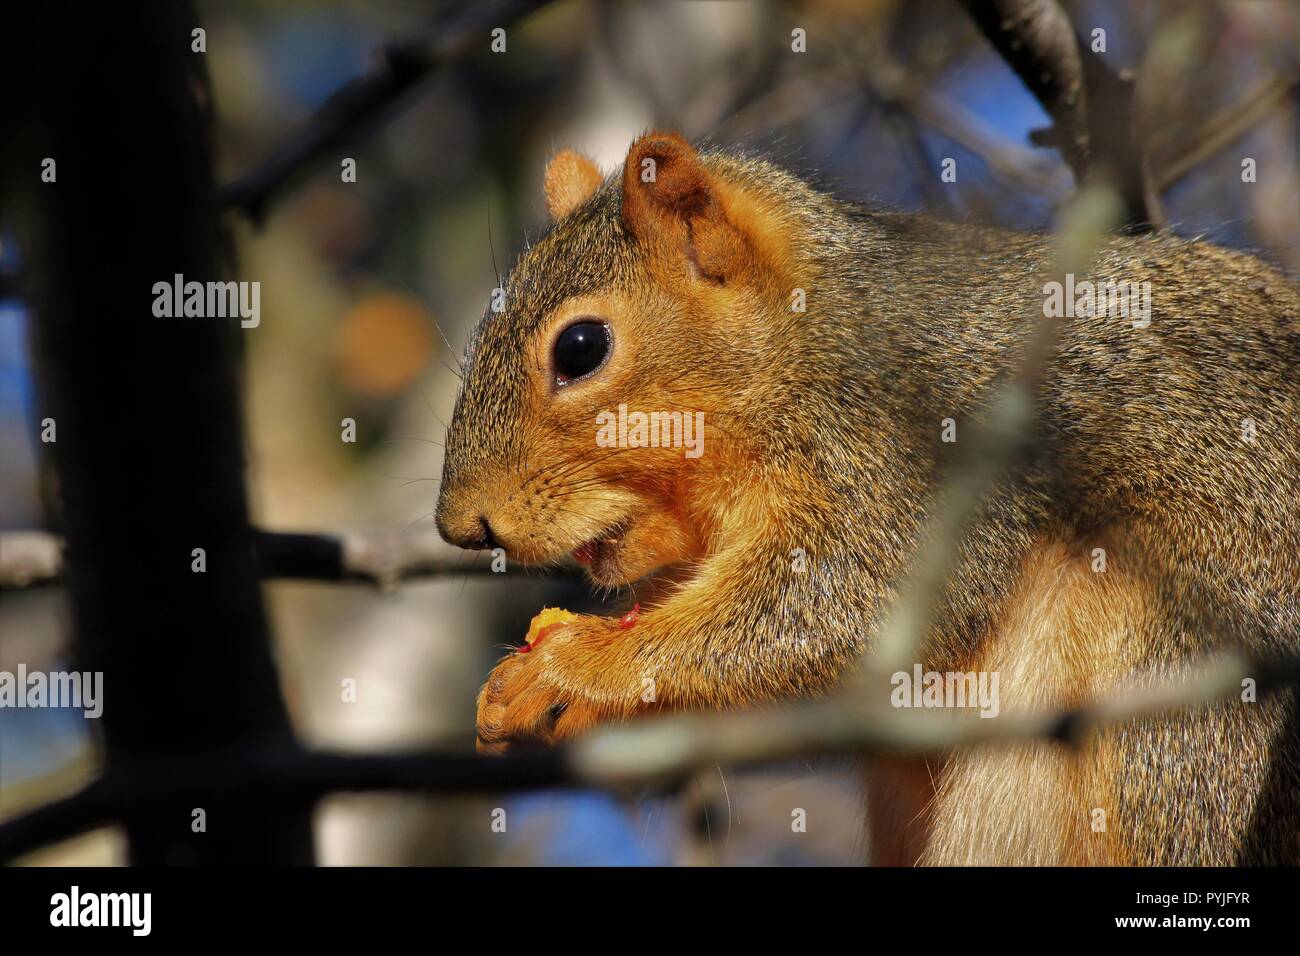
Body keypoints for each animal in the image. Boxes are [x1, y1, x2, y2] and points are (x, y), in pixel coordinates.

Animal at [435, 131, 1300, 865]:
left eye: (582, 348)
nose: (462, 527)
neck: (802, 350)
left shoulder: (918, 465)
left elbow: (852, 611)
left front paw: (576, 667)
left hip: (1177, 692)